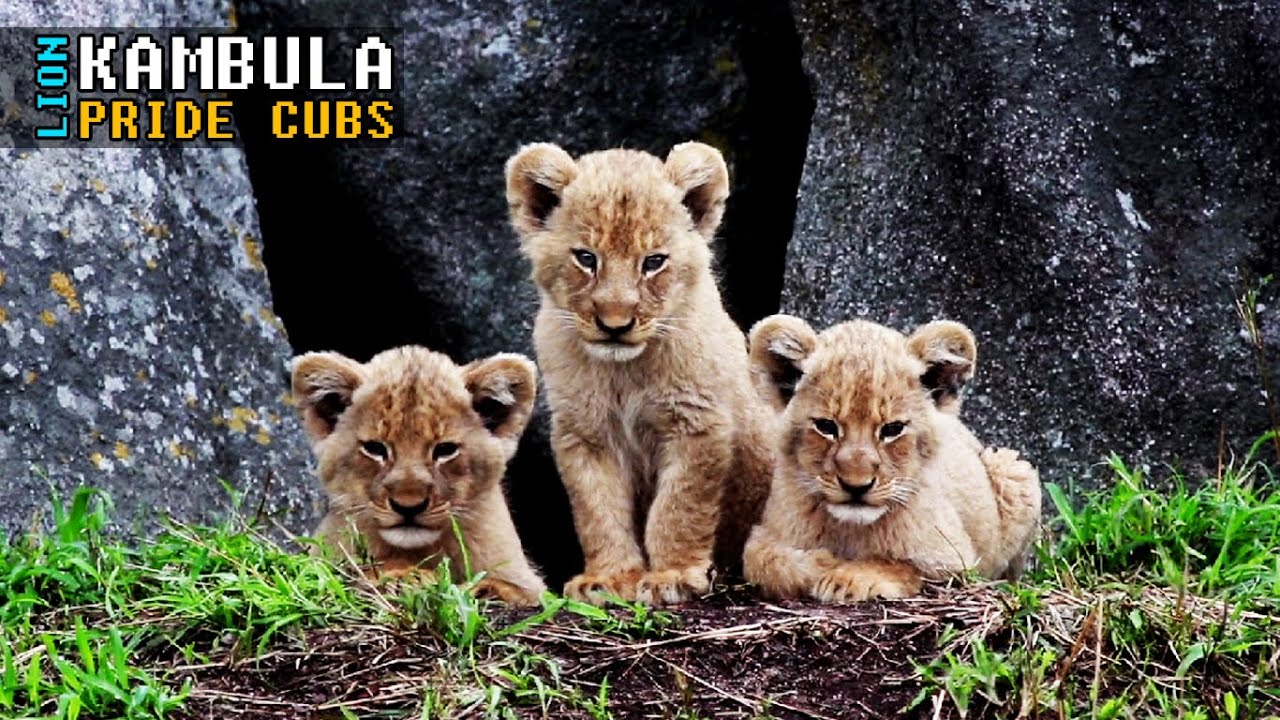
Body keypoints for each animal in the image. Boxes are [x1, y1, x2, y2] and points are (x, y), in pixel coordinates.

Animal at [290, 346, 547, 606]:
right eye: (375, 448)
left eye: (445, 449)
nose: (408, 506)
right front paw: (405, 576)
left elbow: (518, 587)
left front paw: (489, 590)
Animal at [504, 141, 773, 605]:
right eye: (586, 258)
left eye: (653, 262)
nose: (615, 324)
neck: (622, 373)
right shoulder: (584, 434)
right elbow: (598, 509)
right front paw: (608, 578)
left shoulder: (696, 425)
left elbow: (678, 508)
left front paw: (672, 576)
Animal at [742, 315, 1042, 602]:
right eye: (826, 426)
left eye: (893, 429)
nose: (856, 486)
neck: (850, 528)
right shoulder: (764, 534)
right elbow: (761, 561)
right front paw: (822, 563)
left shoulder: (956, 559)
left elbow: (899, 564)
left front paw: (847, 577)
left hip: (1015, 470)